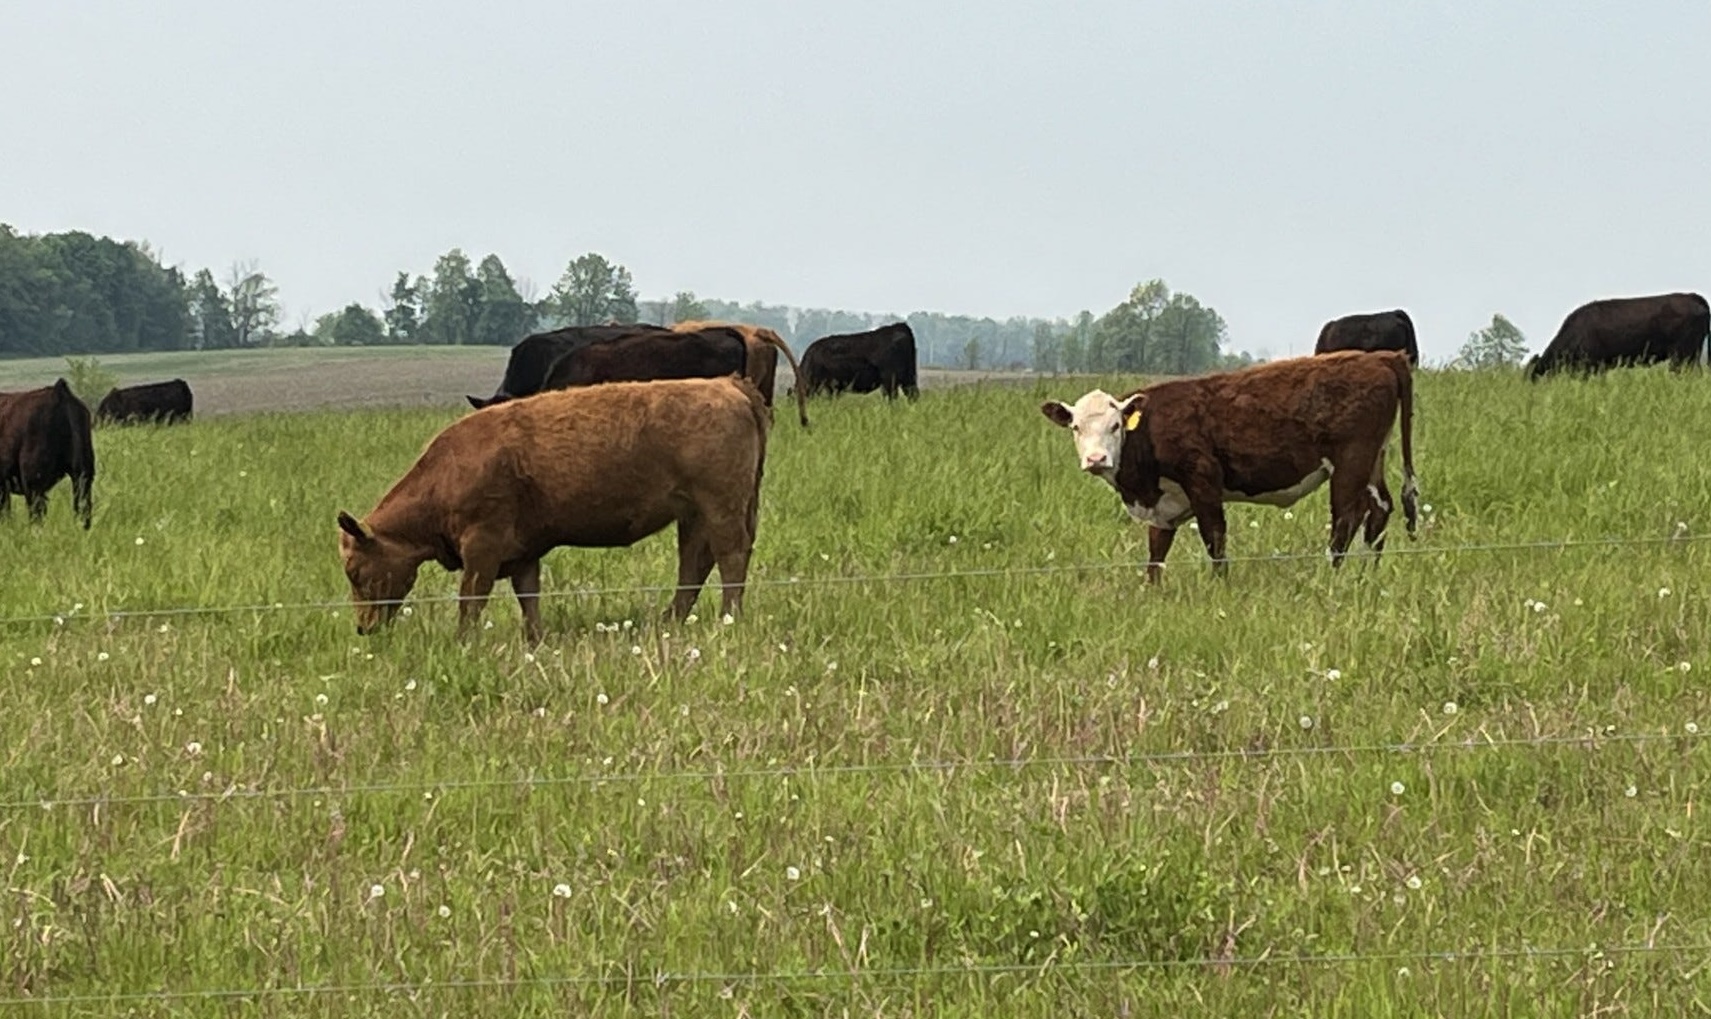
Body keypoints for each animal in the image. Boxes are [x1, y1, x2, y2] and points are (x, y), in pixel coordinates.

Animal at [337, 375, 771, 642]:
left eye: (354, 571)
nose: (362, 629)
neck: (445, 473)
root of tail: (727, 384)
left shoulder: (483, 546)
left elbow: (471, 599)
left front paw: (463, 642)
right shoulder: (522, 551)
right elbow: (528, 596)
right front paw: (534, 639)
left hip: (721, 506)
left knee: (730, 556)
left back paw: (728, 618)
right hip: (693, 514)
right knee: (694, 563)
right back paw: (671, 621)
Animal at [1040, 351, 1418, 582]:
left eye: (1116, 425)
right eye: (1076, 427)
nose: (1096, 459)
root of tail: (1380, 357)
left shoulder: (1203, 479)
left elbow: (1215, 539)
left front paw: (1220, 586)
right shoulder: (1164, 505)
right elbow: (1156, 552)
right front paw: (1152, 592)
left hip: (1351, 461)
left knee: (1346, 517)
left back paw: (1329, 575)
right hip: (1373, 459)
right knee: (1379, 509)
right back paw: (1368, 573)